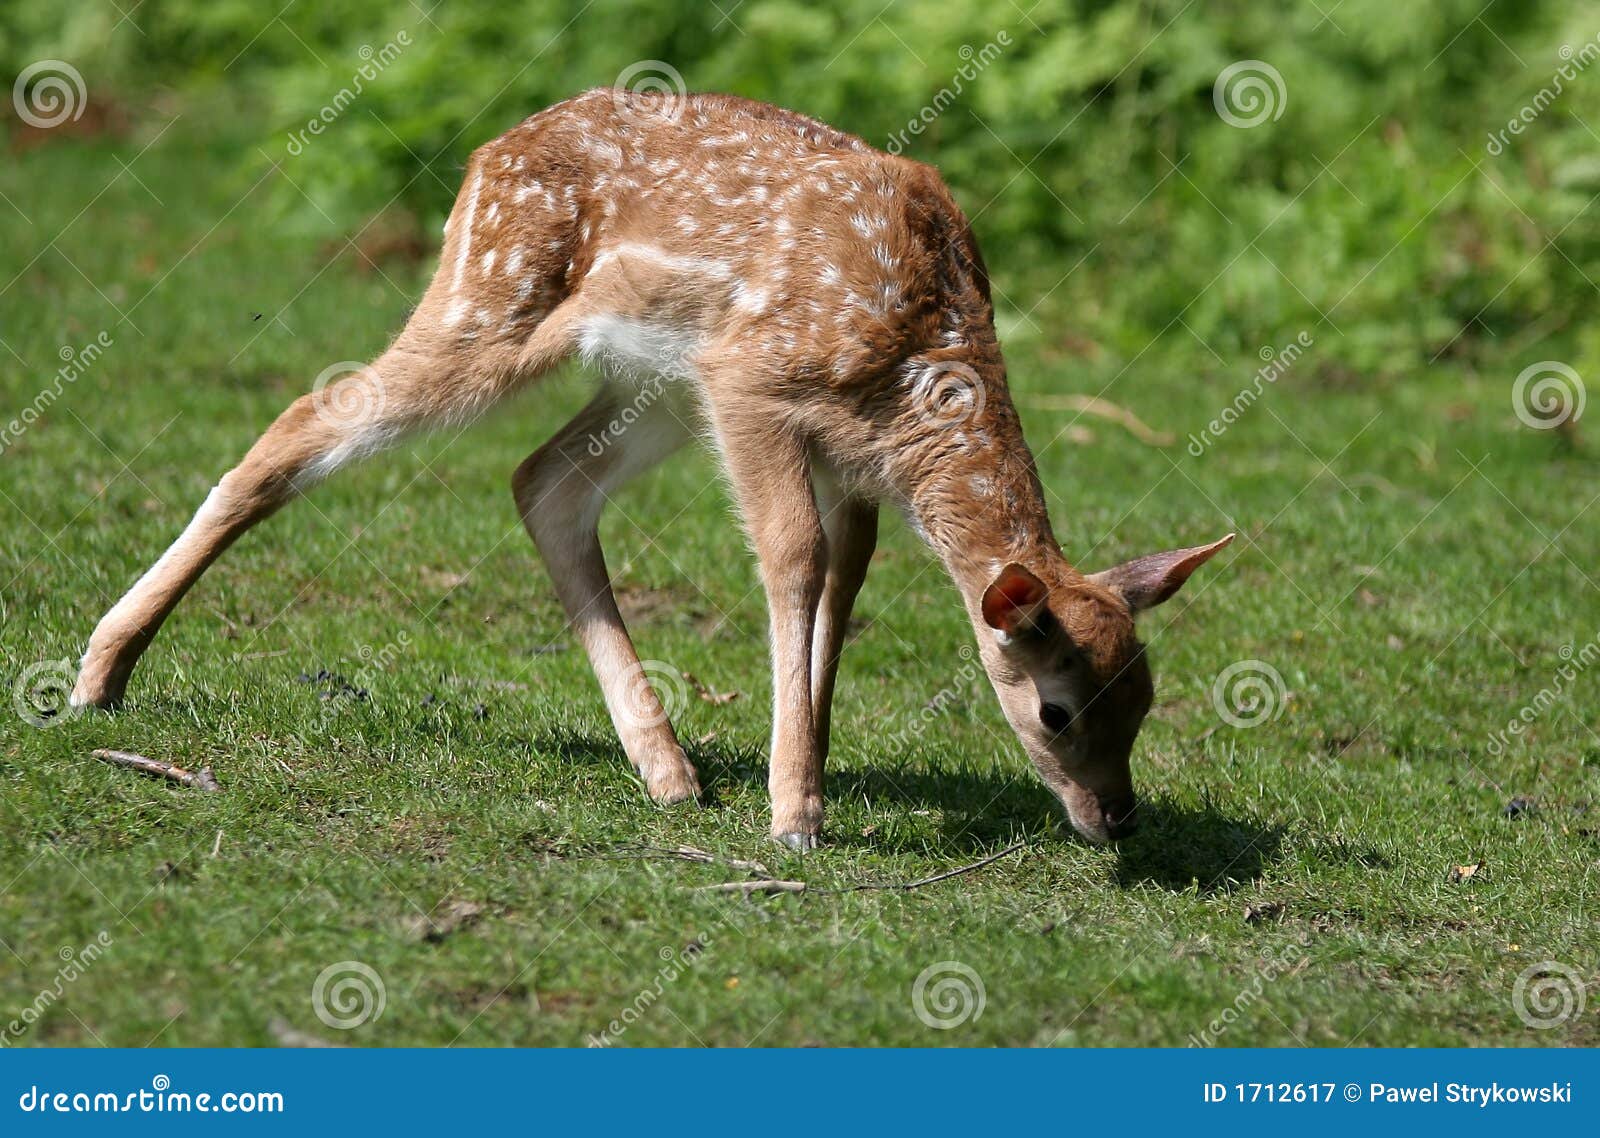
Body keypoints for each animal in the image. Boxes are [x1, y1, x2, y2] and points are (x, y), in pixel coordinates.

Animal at [71, 89, 1233, 850]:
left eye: (1145, 696)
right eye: (1057, 709)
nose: (1117, 817)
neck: (922, 375)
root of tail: (483, 159)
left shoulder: (850, 460)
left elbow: (847, 576)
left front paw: (804, 760)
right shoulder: (755, 383)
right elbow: (795, 558)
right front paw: (795, 814)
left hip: (655, 385)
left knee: (543, 481)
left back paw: (667, 769)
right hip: (504, 301)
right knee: (310, 416)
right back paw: (97, 675)